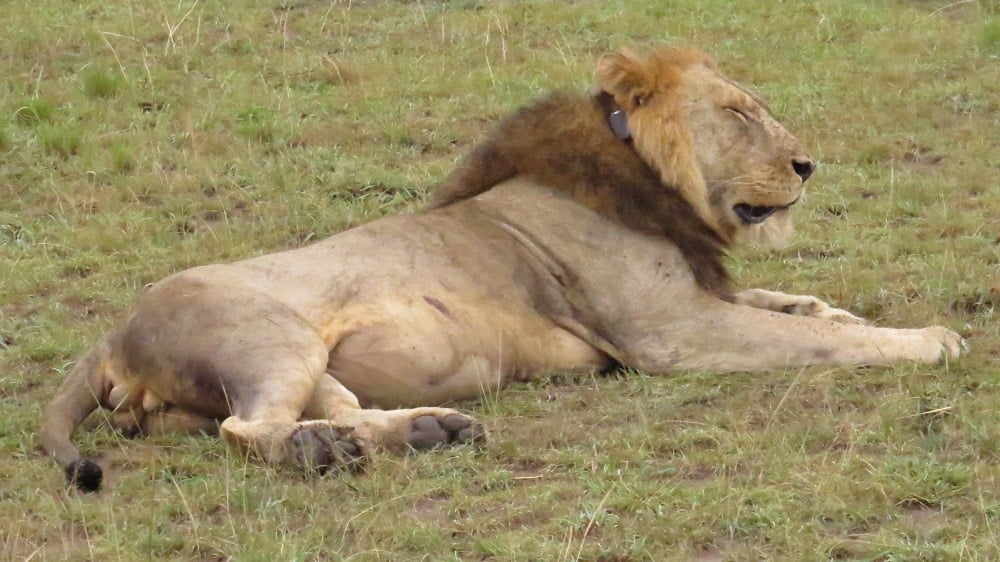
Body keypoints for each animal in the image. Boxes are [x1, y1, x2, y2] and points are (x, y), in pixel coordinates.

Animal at [39, 45, 964, 492]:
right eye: (740, 114)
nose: (808, 165)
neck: (652, 179)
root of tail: (112, 332)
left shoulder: (703, 296)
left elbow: (797, 306)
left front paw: (839, 311)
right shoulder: (671, 333)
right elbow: (810, 337)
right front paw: (932, 339)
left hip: (312, 359)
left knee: (333, 411)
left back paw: (425, 432)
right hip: (271, 337)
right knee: (250, 430)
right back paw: (326, 454)